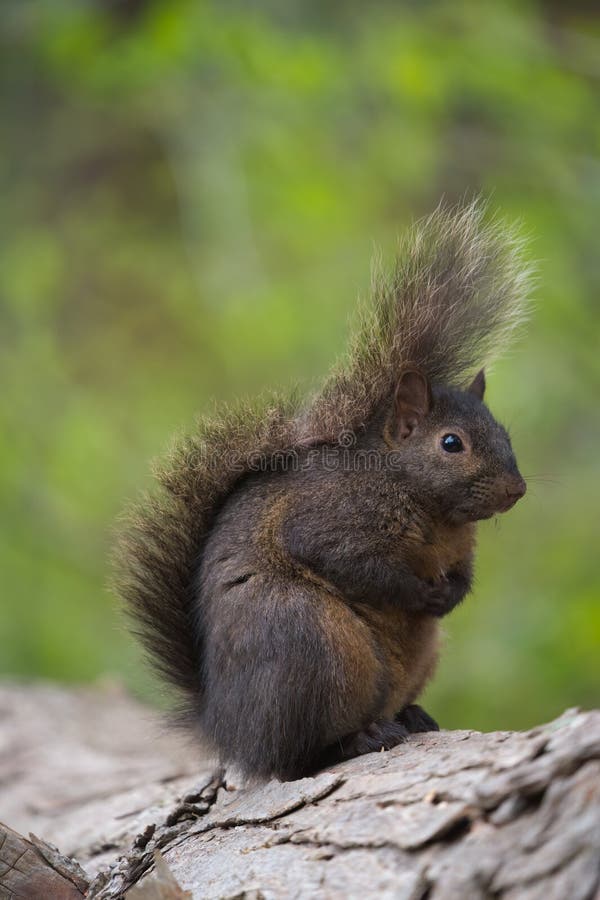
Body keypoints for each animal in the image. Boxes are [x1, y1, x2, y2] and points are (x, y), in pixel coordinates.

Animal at [115, 200, 532, 781]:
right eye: (452, 443)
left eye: (505, 434)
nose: (517, 490)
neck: (427, 506)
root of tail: (228, 728)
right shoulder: (328, 518)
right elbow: (347, 562)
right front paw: (418, 593)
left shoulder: (460, 548)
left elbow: (464, 574)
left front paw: (451, 594)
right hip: (308, 642)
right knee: (296, 755)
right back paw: (356, 739)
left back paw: (411, 714)